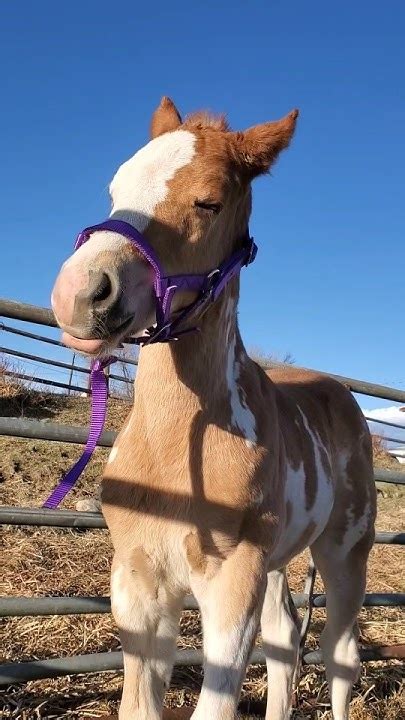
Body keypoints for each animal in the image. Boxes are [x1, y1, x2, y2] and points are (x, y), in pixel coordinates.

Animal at [51, 97, 376, 720]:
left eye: (209, 201)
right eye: (114, 190)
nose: (80, 292)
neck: (178, 452)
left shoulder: (231, 584)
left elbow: (216, 706)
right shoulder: (137, 582)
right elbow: (140, 706)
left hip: (346, 547)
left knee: (339, 651)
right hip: (276, 562)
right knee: (285, 639)